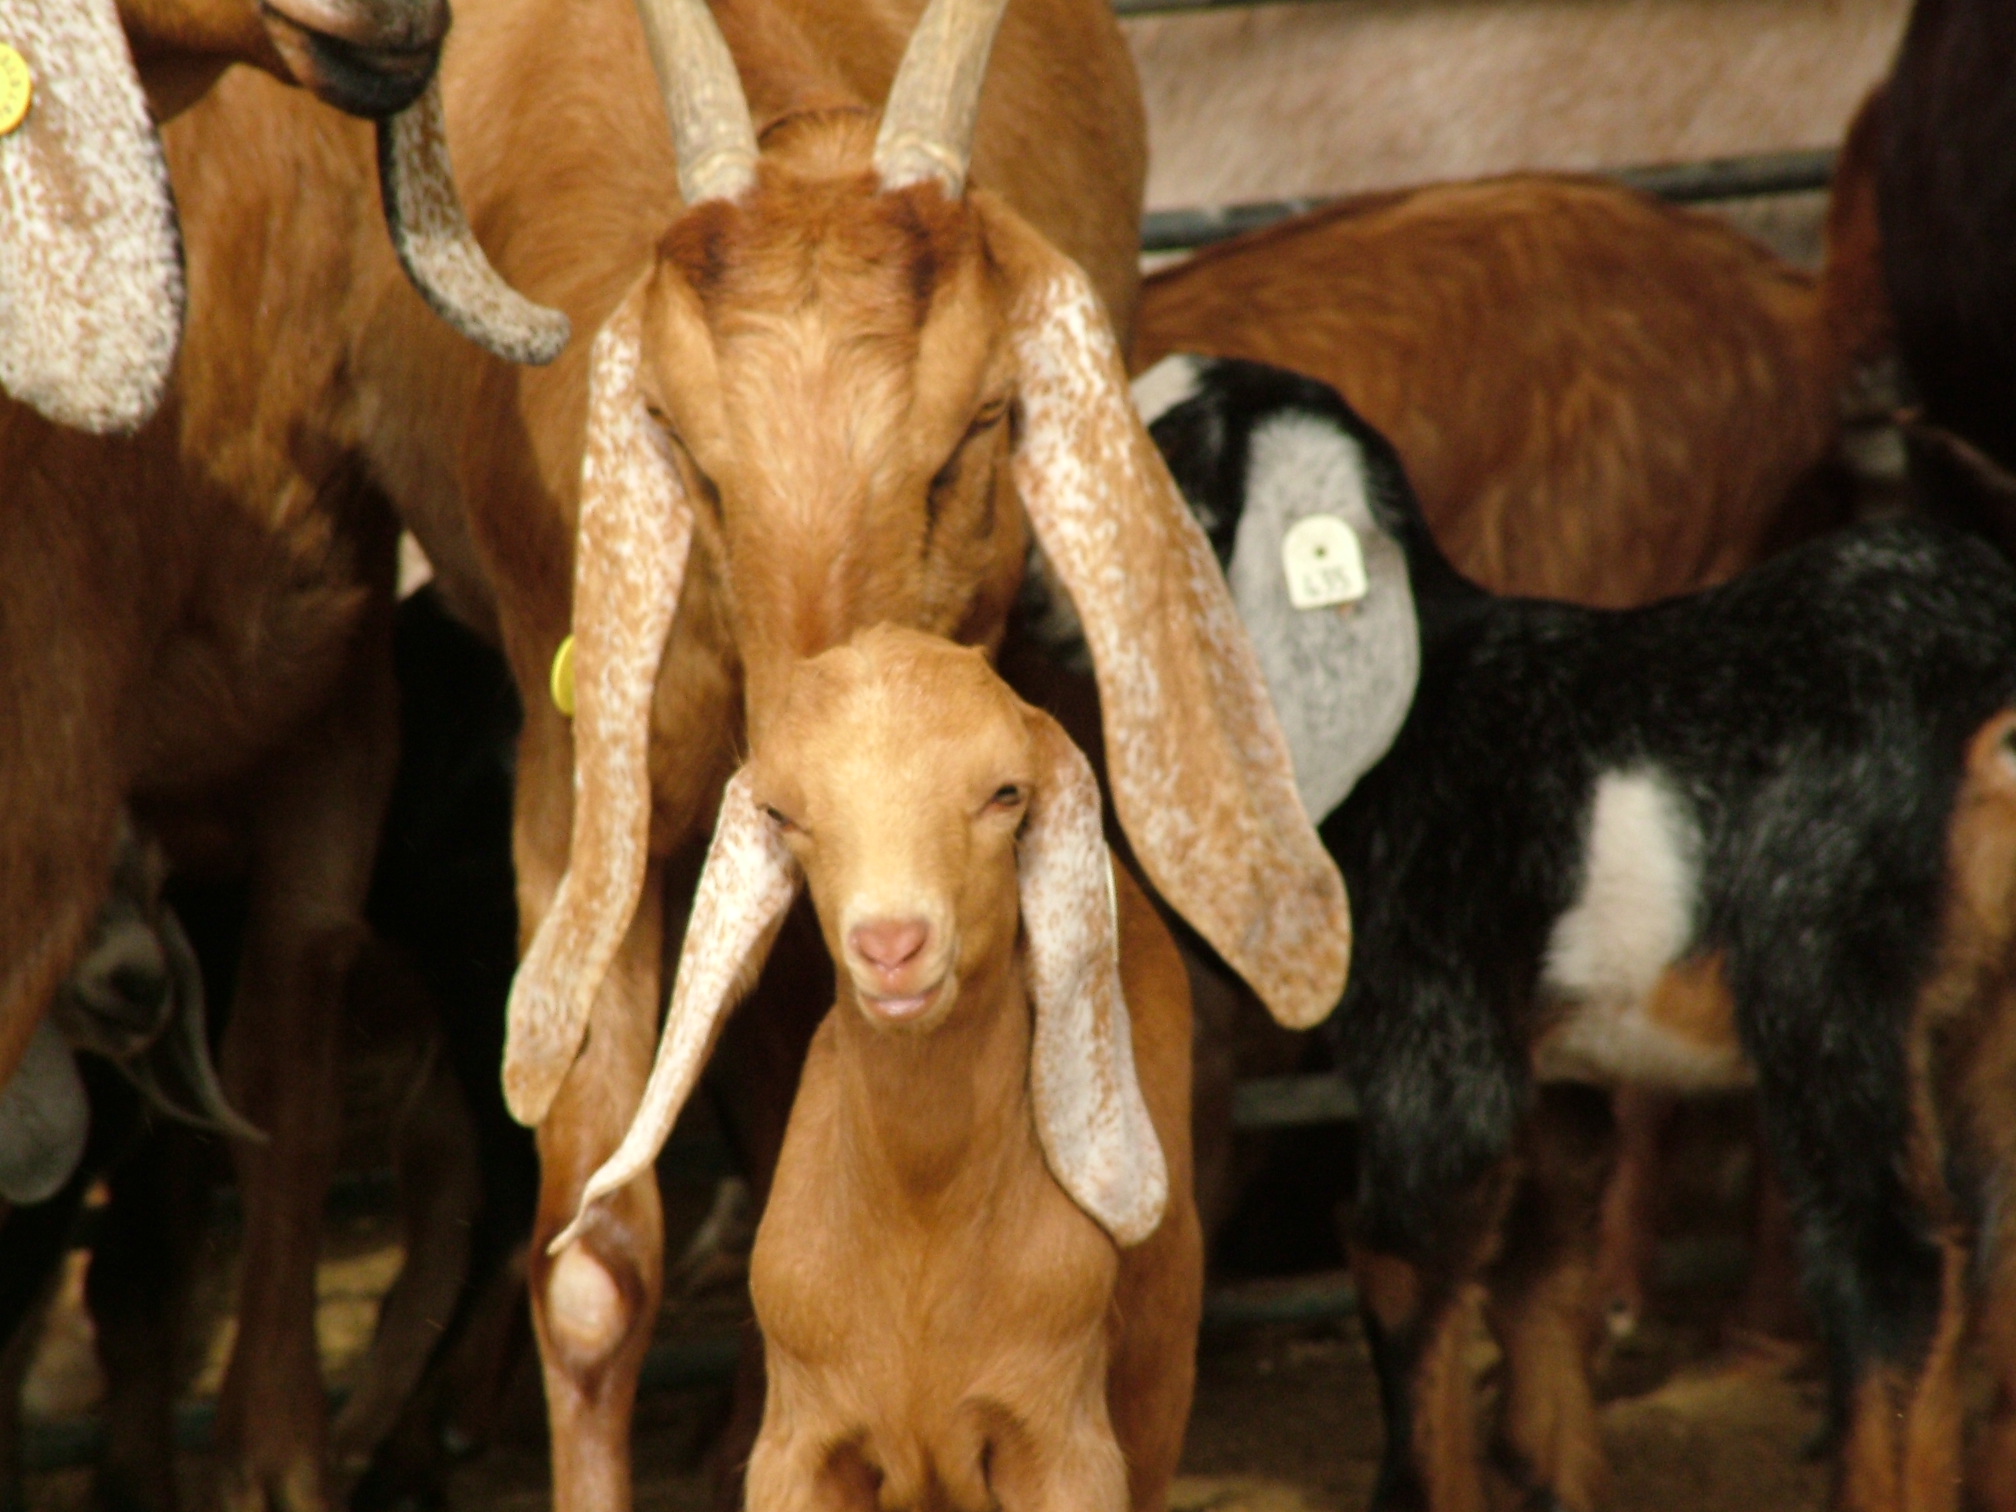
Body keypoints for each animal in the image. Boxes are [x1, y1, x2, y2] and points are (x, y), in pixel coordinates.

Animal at [544, 624, 1200, 1512]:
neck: (921, 1216)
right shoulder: (797, 1443)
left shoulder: (1064, 1441)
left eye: (1006, 793)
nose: (892, 945)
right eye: (782, 813)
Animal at [1122, 354, 2016, 1512]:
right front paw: (1553, 1476)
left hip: (1826, 973)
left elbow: (1402, 1251)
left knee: (1893, 1266)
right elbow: (1543, 1258)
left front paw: (1421, 1486)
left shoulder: (1436, 1028)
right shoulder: (1556, 1064)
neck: (1417, 707)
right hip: (1987, 1010)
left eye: (1167, 449)